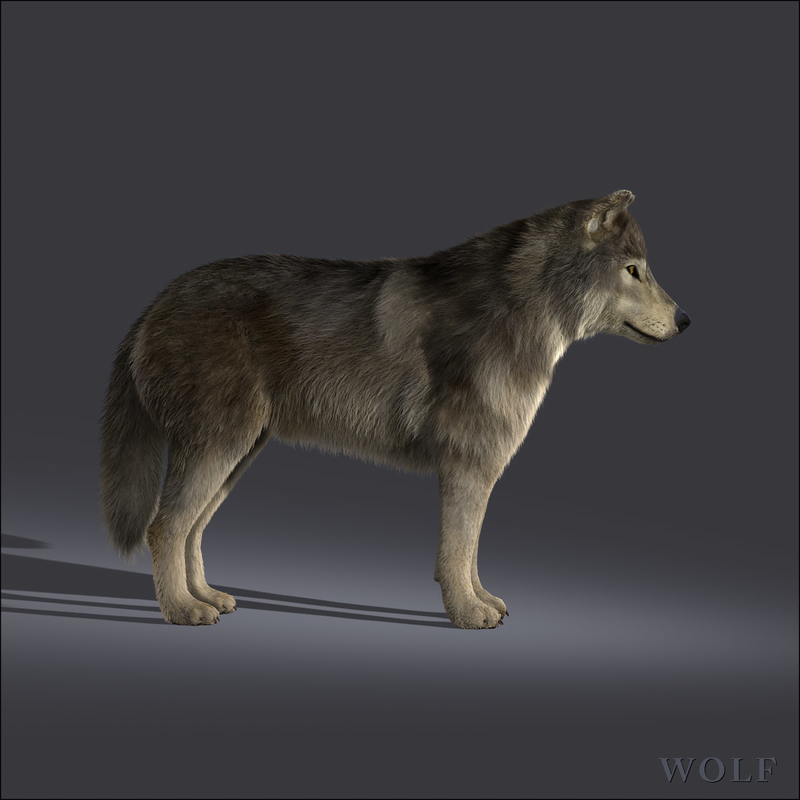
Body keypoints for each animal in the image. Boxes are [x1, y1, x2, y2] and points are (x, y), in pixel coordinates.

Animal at [100, 190, 690, 629]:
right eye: (634, 270)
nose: (686, 320)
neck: (520, 308)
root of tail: (154, 304)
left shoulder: (476, 469)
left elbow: (470, 550)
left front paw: (481, 600)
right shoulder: (468, 464)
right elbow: (458, 549)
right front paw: (467, 614)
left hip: (237, 454)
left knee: (191, 528)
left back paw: (206, 597)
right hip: (219, 447)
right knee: (165, 527)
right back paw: (182, 611)